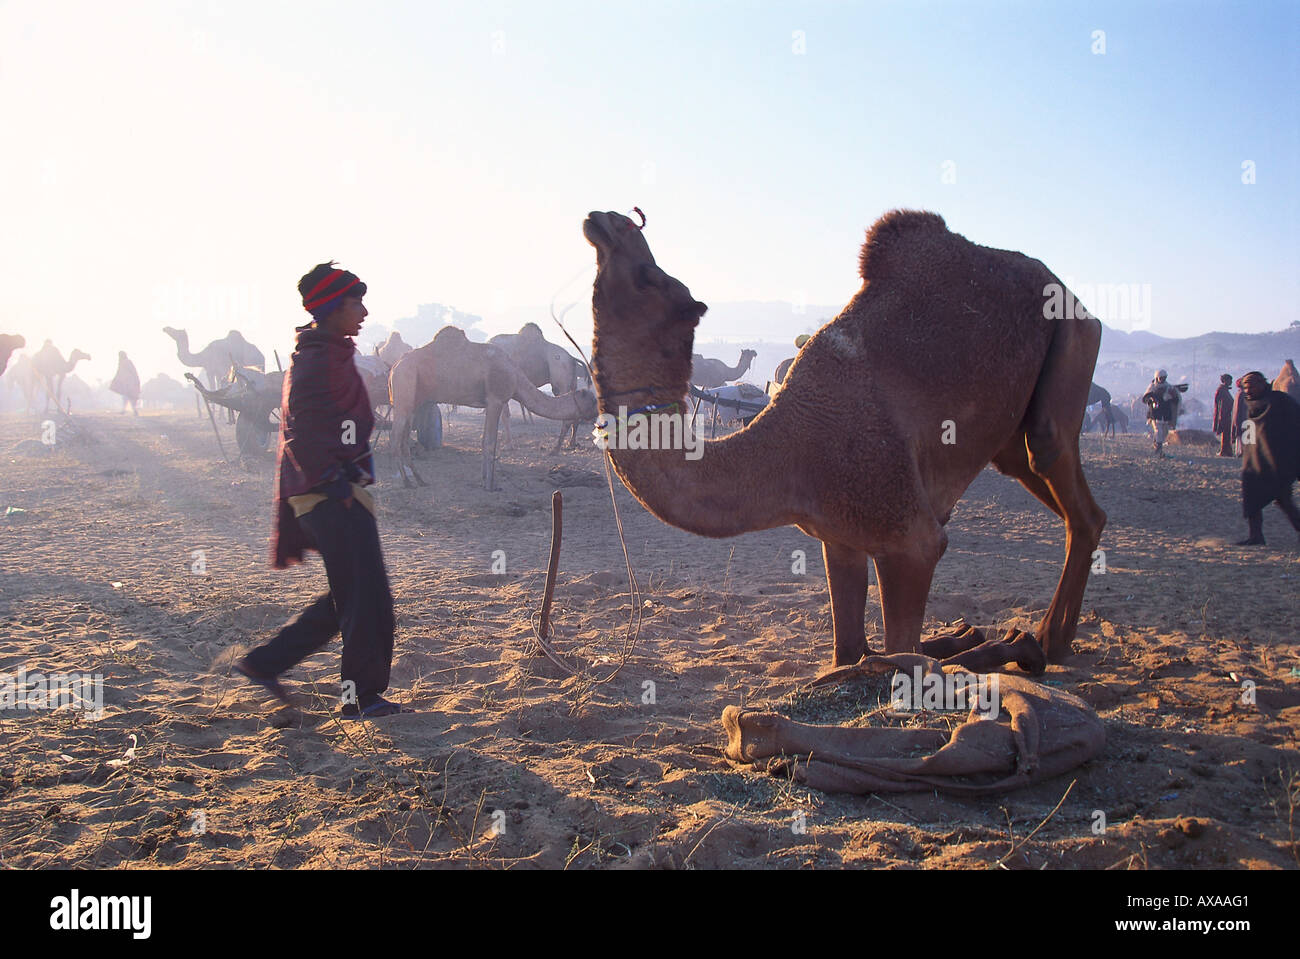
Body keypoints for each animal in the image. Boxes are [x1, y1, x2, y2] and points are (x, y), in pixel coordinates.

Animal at [388, 325, 598, 490]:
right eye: (594, 402)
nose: (598, 418)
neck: (515, 375)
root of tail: (395, 366)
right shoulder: (496, 400)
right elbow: (490, 442)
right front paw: (491, 485)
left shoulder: (491, 403)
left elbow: (485, 441)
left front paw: (483, 480)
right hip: (404, 390)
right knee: (395, 437)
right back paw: (407, 481)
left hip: (414, 399)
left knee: (404, 437)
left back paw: (419, 480)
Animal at [584, 208, 1106, 668]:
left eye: (649, 276)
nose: (606, 219)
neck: (788, 453)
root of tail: (1065, 288)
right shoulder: (837, 538)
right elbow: (850, 655)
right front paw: (965, 636)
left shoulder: (910, 540)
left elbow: (902, 659)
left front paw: (1004, 643)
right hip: (1011, 436)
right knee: (1050, 483)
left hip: (1076, 336)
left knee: (1058, 461)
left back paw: (1048, 640)